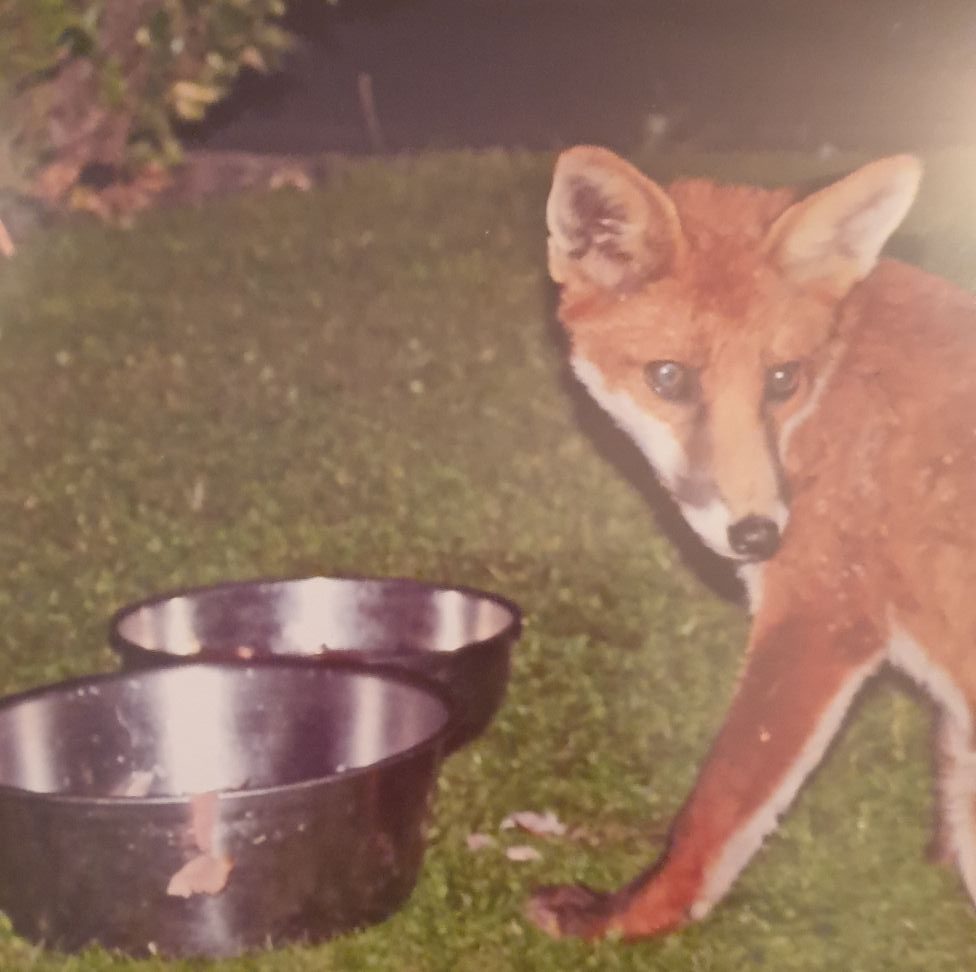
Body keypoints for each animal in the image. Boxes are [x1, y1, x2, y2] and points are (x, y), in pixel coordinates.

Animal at [527, 146, 976, 940]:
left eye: (781, 379)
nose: (759, 533)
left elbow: (713, 812)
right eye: (670, 377)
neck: (831, 399)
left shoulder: (819, 620)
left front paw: (628, 917)